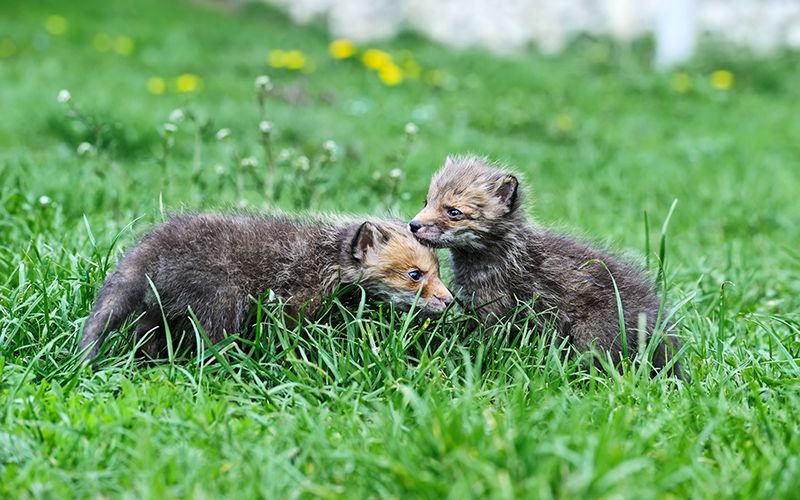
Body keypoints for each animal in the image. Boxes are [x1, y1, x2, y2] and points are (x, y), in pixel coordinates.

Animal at [79, 213, 453, 361]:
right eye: (415, 275)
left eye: (438, 272)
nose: (450, 302)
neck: (328, 258)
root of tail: (152, 245)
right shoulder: (290, 306)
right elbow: (290, 340)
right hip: (222, 305)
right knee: (209, 347)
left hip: (158, 310)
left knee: (146, 336)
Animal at [409, 155, 683, 378]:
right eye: (426, 201)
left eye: (454, 212)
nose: (413, 225)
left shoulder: (494, 310)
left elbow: (481, 342)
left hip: (592, 339)